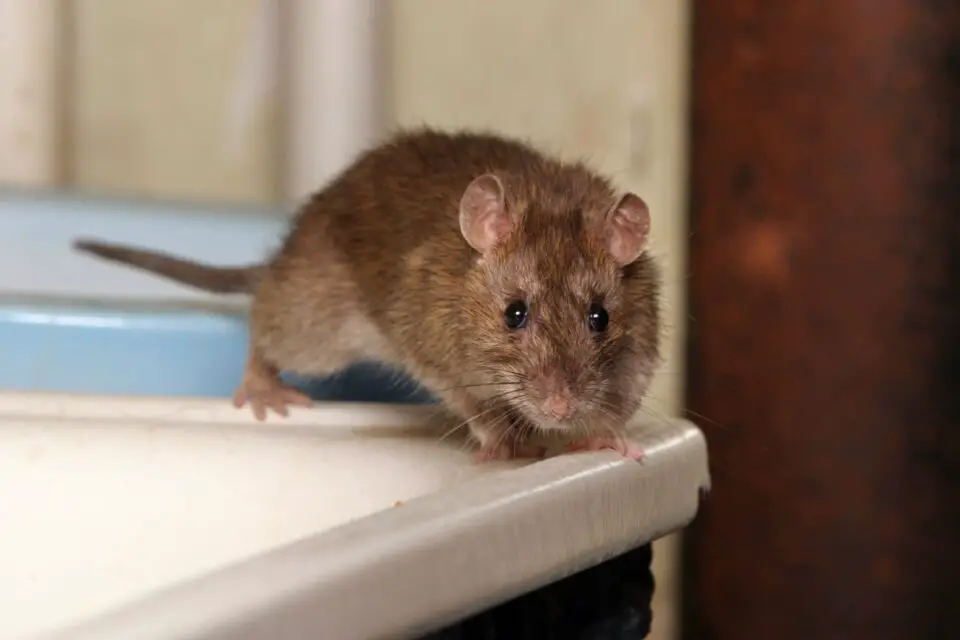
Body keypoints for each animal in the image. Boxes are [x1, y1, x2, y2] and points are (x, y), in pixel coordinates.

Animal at [74, 128, 661, 461]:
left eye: (600, 318)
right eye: (514, 314)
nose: (560, 410)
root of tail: (287, 252)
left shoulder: (640, 346)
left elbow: (622, 400)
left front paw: (606, 438)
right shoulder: (431, 342)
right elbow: (472, 402)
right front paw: (506, 442)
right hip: (318, 327)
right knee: (266, 324)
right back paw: (264, 384)